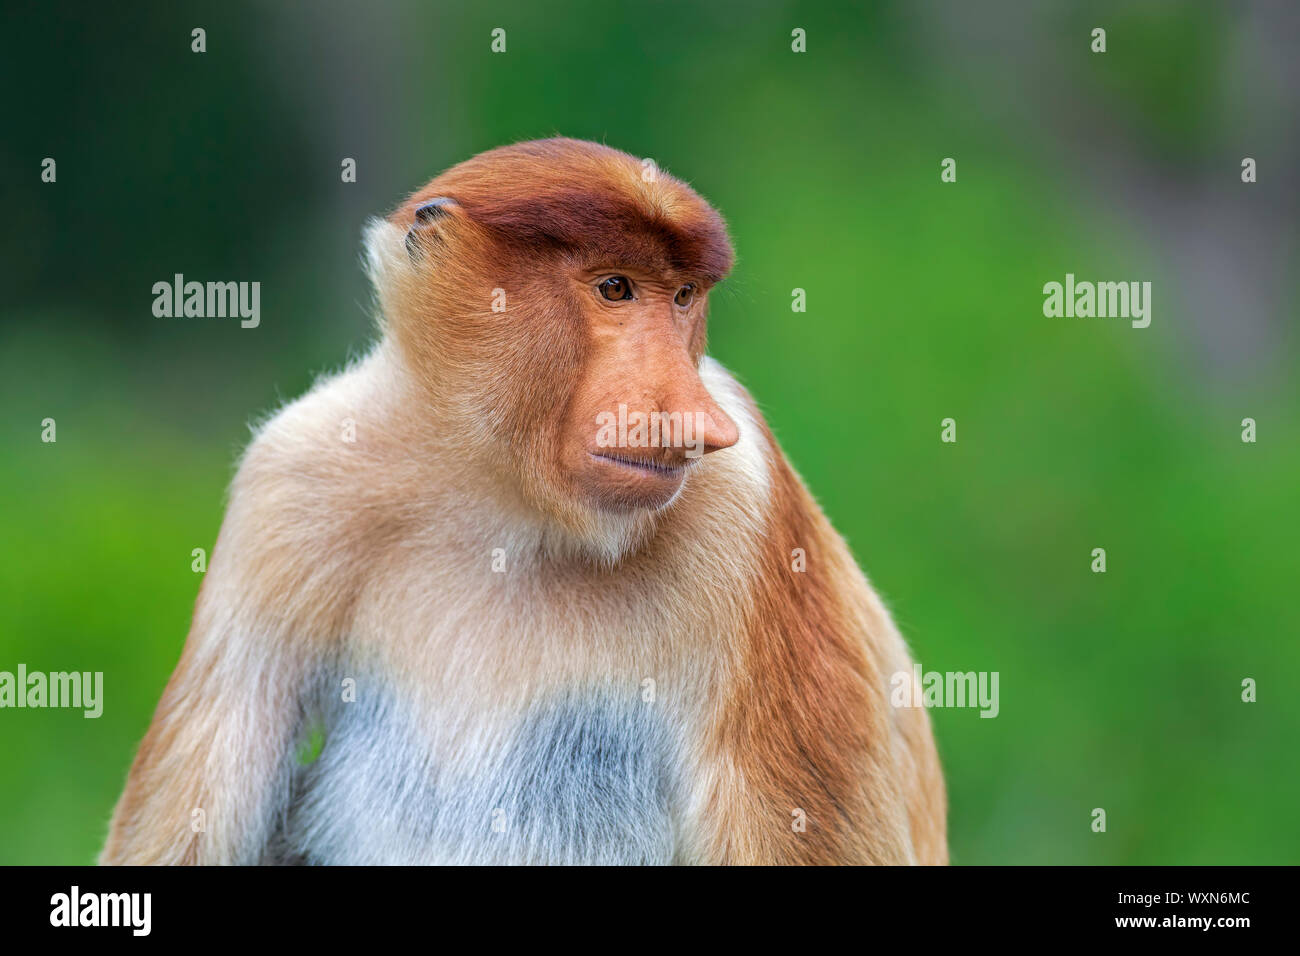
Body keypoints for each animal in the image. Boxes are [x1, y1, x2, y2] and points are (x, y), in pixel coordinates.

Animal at [101, 137, 947, 865]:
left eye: (682, 297)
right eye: (615, 288)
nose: (688, 417)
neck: (507, 504)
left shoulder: (745, 505)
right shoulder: (291, 481)